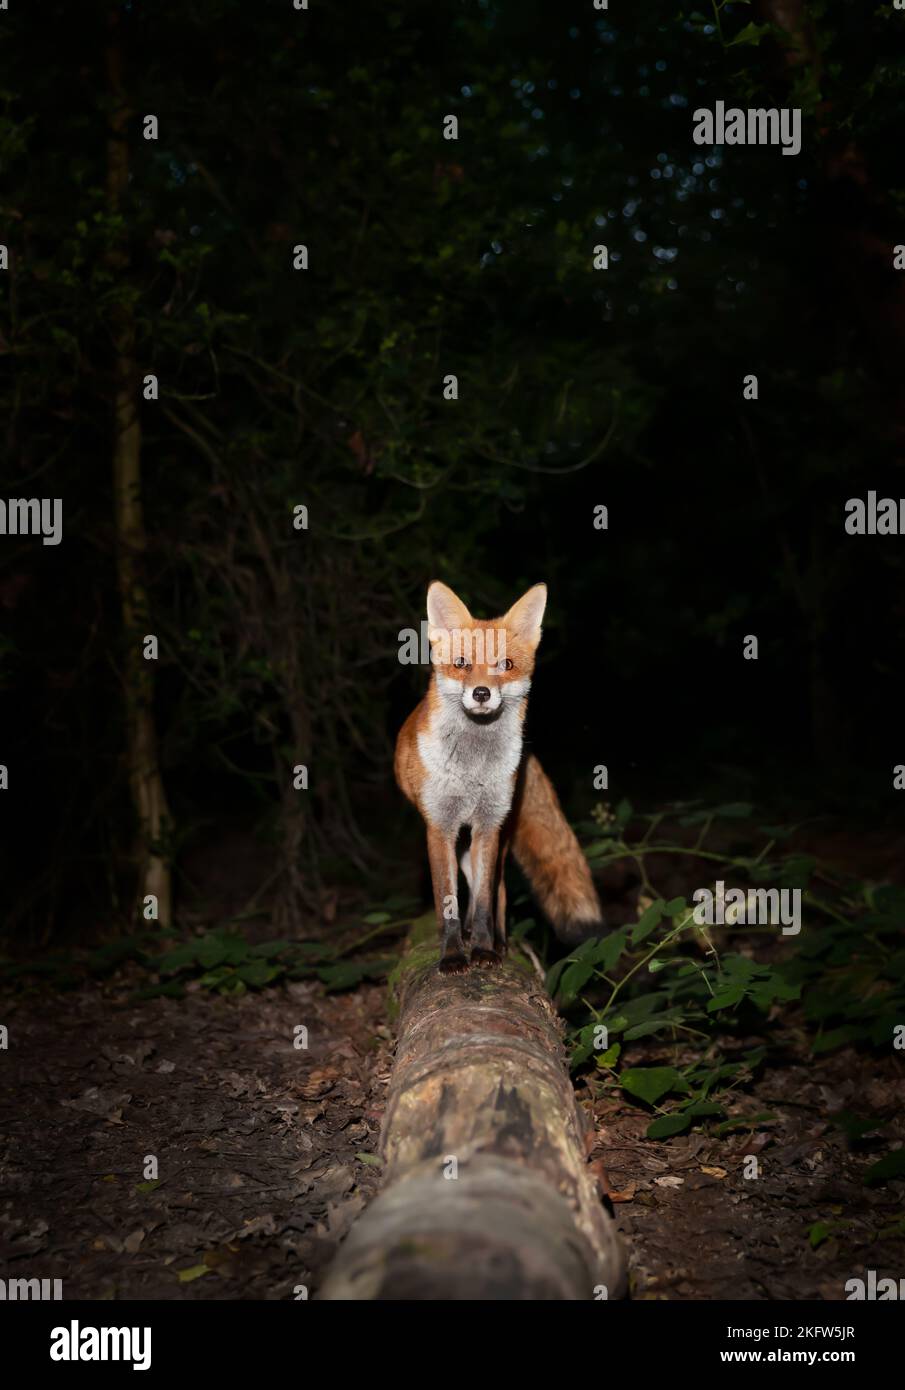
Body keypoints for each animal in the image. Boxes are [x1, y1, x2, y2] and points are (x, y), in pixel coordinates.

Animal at [394, 580, 606, 973]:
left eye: (505, 665)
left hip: (500, 835)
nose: (481, 693)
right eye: (462, 664)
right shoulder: (440, 827)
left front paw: (483, 950)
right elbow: (447, 901)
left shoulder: (488, 825)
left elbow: (484, 902)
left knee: (500, 889)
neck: (472, 769)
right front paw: (452, 954)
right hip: (463, 844)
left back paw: (501, 941)